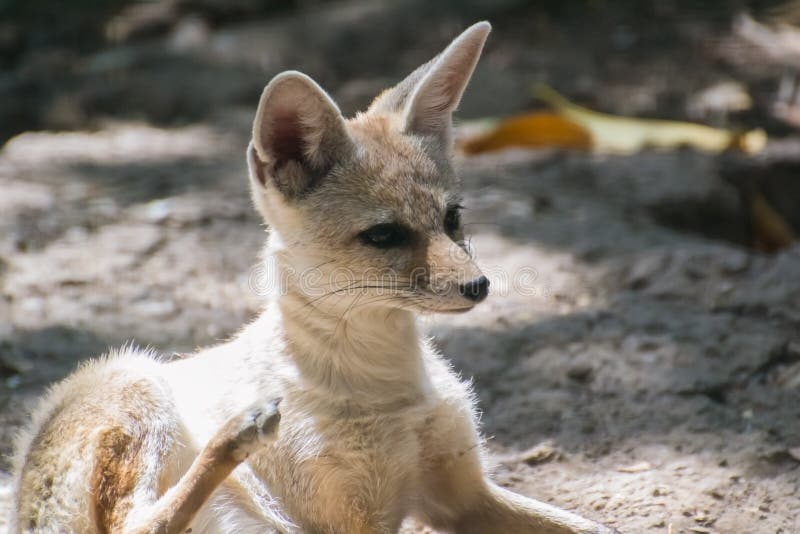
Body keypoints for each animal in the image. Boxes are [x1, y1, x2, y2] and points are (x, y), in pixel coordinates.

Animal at [11, 22, 617, 534]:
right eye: (383, 235)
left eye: (452, 219)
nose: (479, 286)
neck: (389, 386)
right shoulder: (356, 520)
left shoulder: (463, 495)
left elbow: (598, 528)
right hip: (133, 379)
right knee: (138, 524)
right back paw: (236, 434)